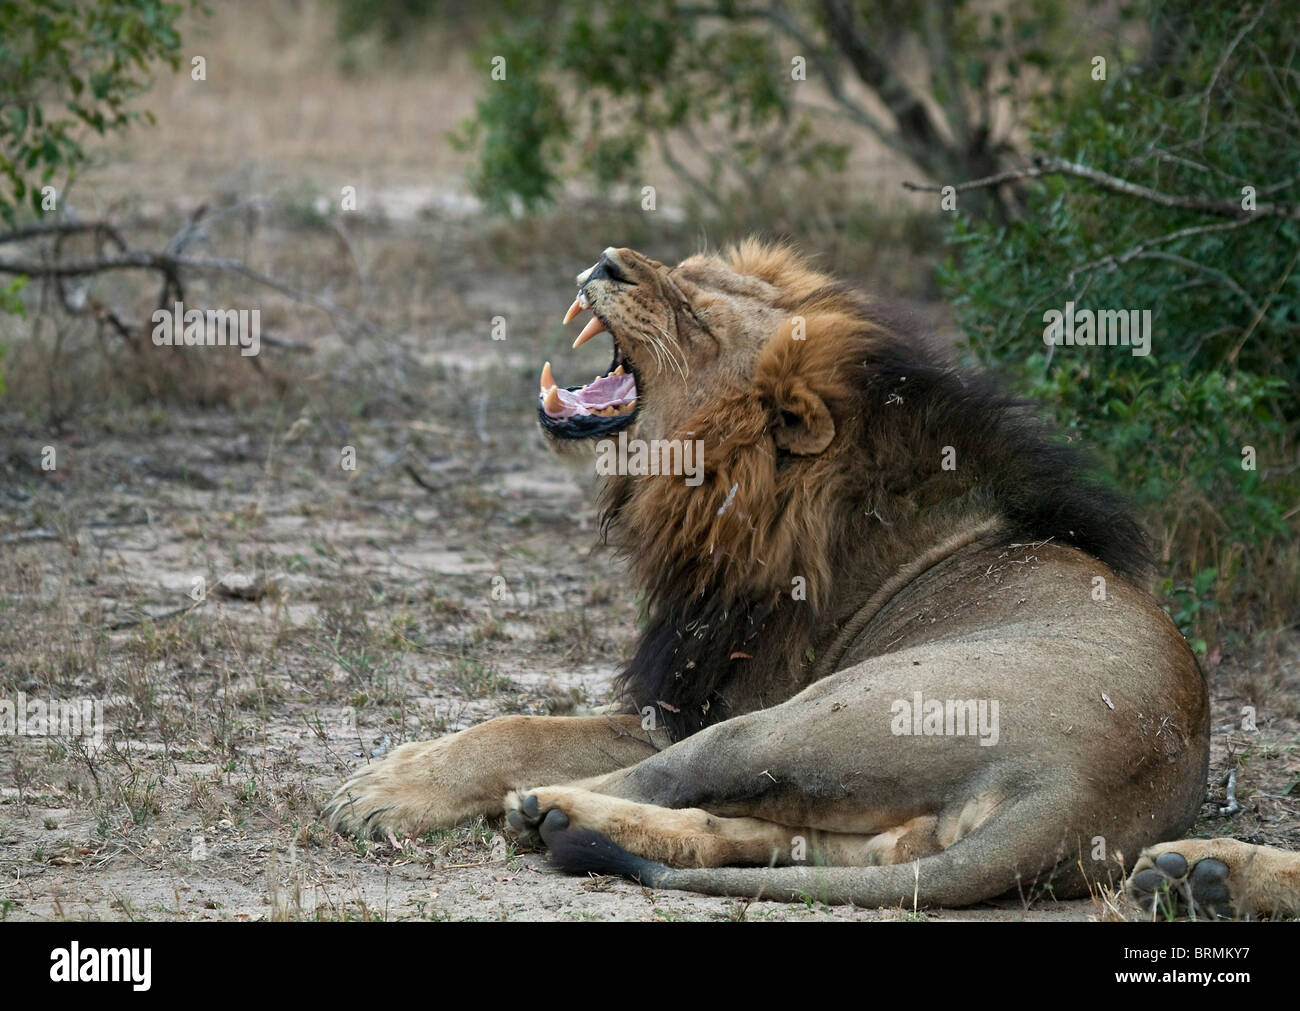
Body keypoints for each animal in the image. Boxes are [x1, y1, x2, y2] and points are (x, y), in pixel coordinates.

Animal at [325, 241, 1300, 918]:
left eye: (695, 317)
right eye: (688, 270)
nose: (607, 259)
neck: (734, 490)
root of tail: (1076, 790)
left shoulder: (696, 705)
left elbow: (520, 727)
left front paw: (382, 791)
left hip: (797, 717)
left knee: (666, 783)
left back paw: (547, 810)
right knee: (820, 850)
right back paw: (576, 826)